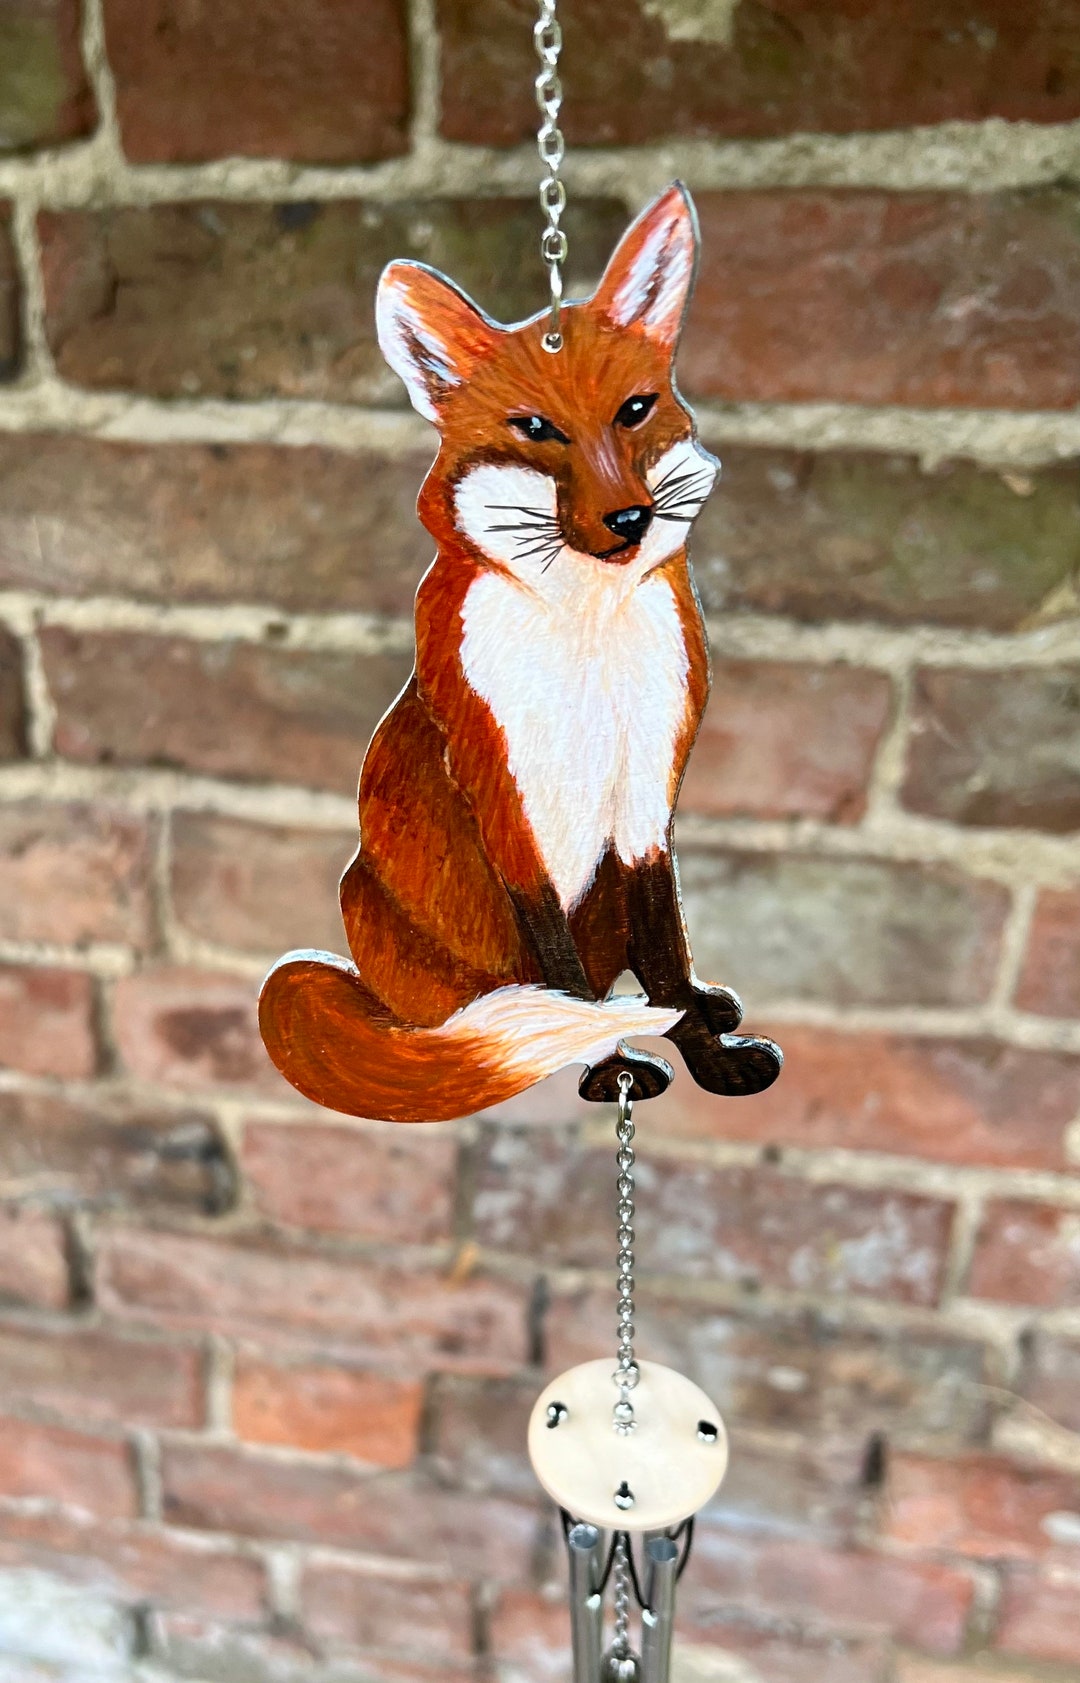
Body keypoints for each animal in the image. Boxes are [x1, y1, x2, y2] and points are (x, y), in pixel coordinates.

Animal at [259, 182, 782, 1124]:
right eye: (537, 428)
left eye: (635, 410)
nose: (629, 519)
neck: (590, 649)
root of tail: (372, 993)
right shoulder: (508, 799)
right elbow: (566, 981)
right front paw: (611, 1071)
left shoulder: (648, 797)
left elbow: (663, 952)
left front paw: (707, 1056)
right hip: (390, 920)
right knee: (509, 1005)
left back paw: (699, 1000)